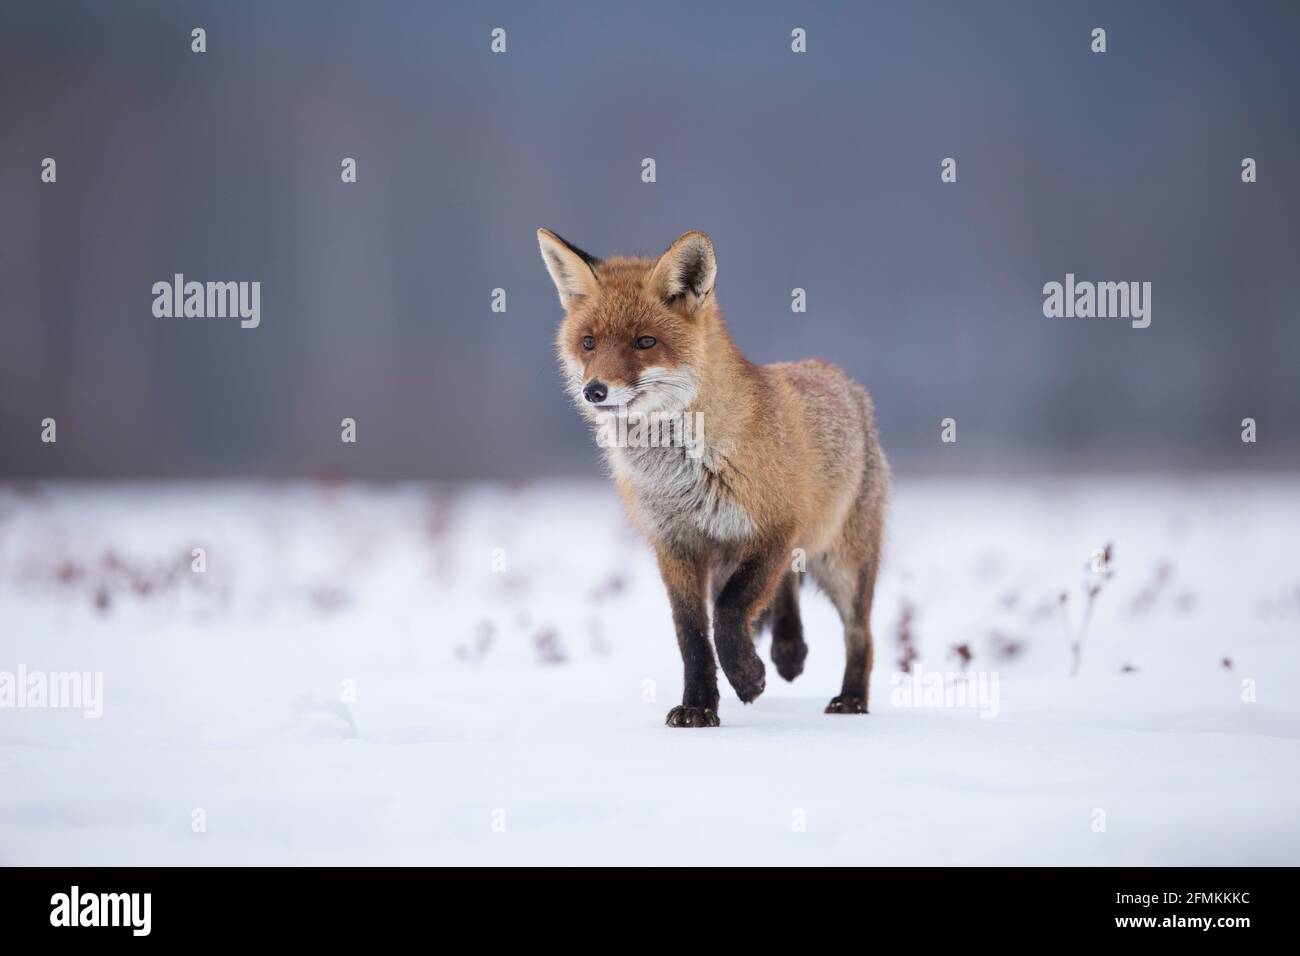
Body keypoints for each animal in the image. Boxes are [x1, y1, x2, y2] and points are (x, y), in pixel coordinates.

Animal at [538, 228, 890, 727]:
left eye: (644, 342)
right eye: (589, 343)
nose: (595, 391)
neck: (682, 472)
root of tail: (847, 382)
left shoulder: (774, 529)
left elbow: (728, 612)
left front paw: (746, 676)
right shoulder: (675, 543)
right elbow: (692, 637)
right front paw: (698, 706)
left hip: (842, 562)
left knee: (860, 633)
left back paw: (852, 699)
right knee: (787, 590)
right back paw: (788, 650)